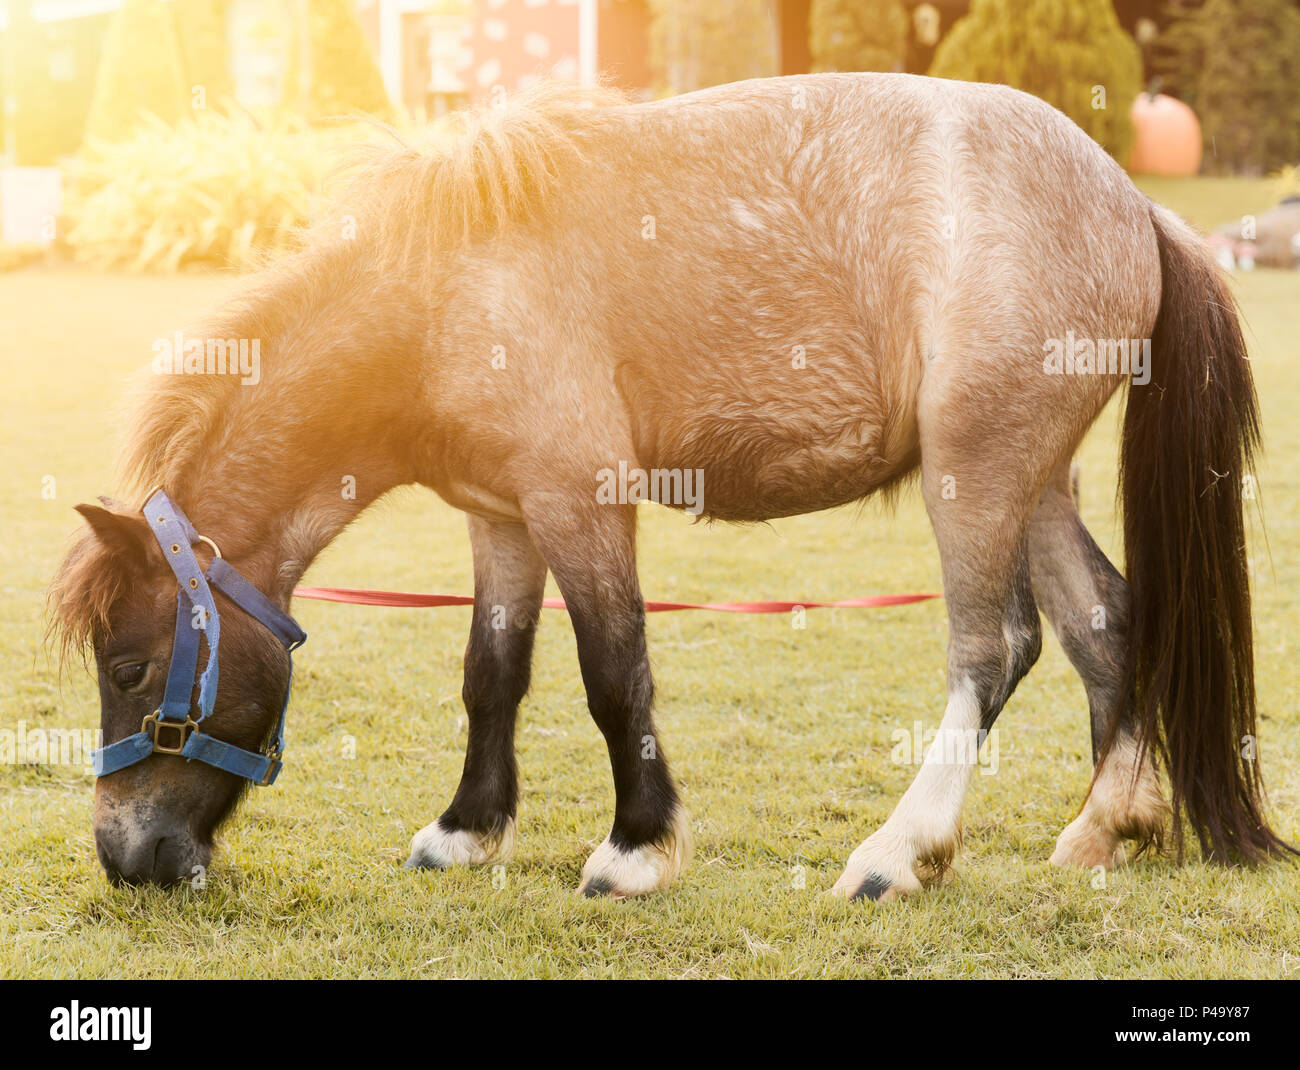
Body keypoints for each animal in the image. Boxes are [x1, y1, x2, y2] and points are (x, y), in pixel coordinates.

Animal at [51, 73, 1292, 898]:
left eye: (130, 667)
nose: (127, 858)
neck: (445, 285)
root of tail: (1135, 204)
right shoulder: (503, 517)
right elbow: (493, 674)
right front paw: (468, 828)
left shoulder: (579, 498)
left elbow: (614, 673)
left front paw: (635, 846)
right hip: (1033, 480)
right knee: (1104, 623)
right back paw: (1102, 825)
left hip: (974, 472)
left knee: (996, 650)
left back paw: (900, 850)